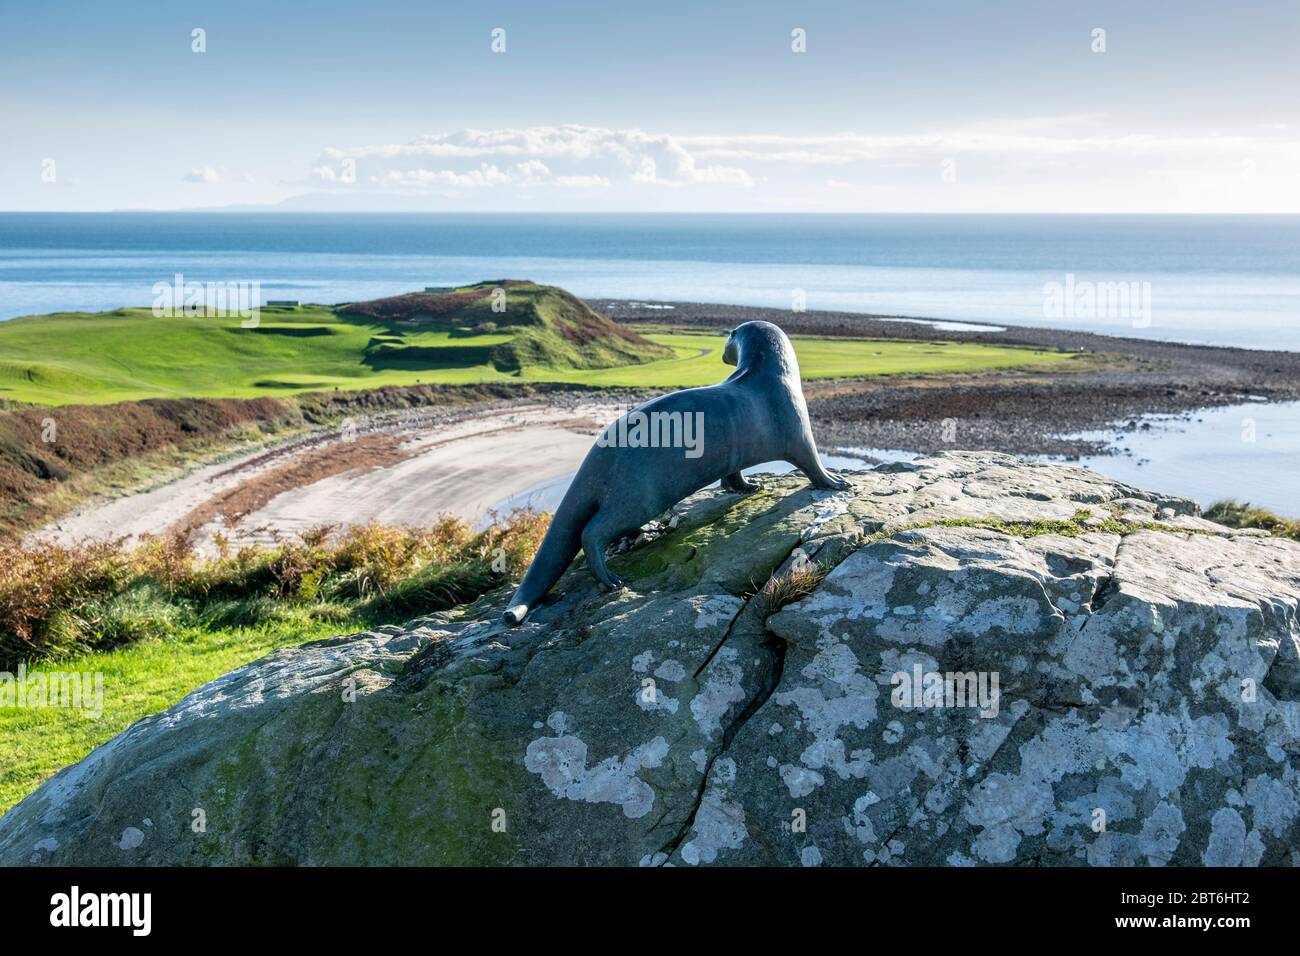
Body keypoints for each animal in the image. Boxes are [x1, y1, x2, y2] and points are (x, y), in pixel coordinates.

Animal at [502, 320, 848, 625]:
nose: (723, 353)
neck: (768, 376)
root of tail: (597, 457)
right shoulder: (797, 428)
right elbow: (813, 464)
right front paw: (836, 482)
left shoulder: (734, 452)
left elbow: (733, 475)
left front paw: (749, 486)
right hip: (638, 493)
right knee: (591, 532)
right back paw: (611, 579)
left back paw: (644, 534)